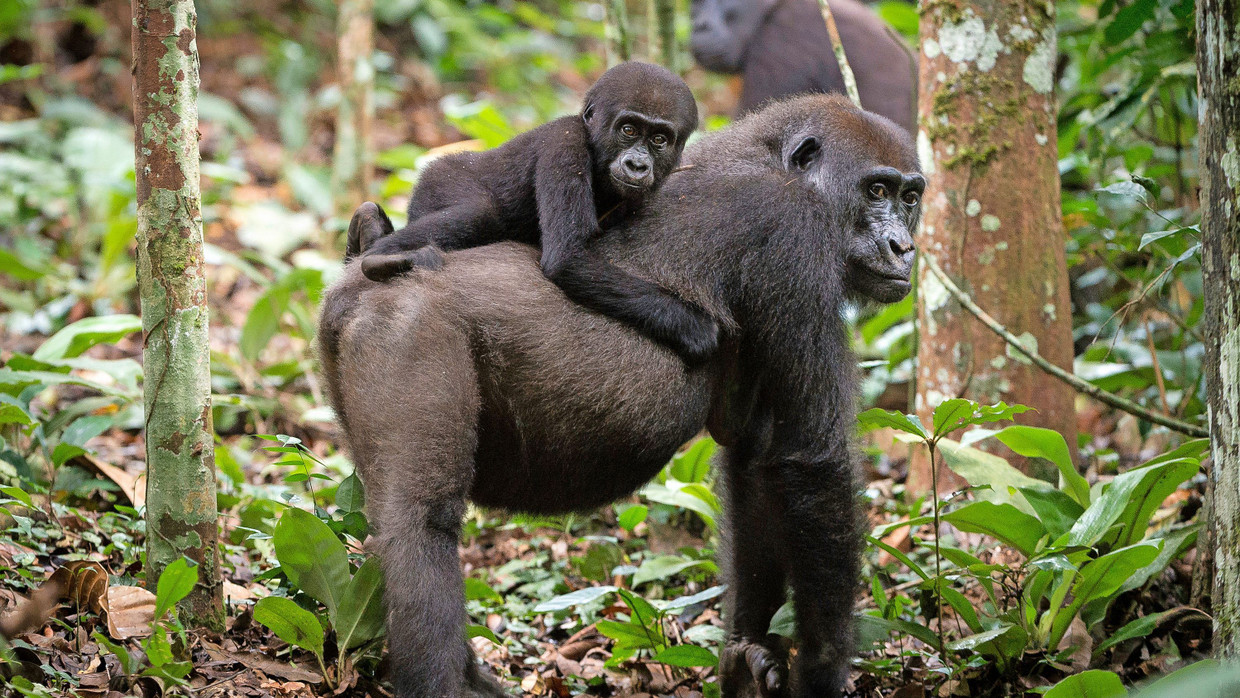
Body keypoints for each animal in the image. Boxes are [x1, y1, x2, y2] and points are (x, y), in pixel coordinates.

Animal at [319, 94, 923, 697]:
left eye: (910, 197)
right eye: (876, 191)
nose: (903, 247)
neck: (769, 156)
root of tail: (352, 284)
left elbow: (754, 459)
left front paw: (750, 652)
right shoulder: (797, 235)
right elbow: (814, 464)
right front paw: (820, 671)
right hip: (408, 327)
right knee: (422, 523)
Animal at [348, 61, 718, 363]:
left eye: (659, 139)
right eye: (628, 129)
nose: (638, 165)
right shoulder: (564, 144)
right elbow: (567, 258)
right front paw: (691, 325)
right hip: (439, 180)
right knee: (480, 213)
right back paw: (380, 256)